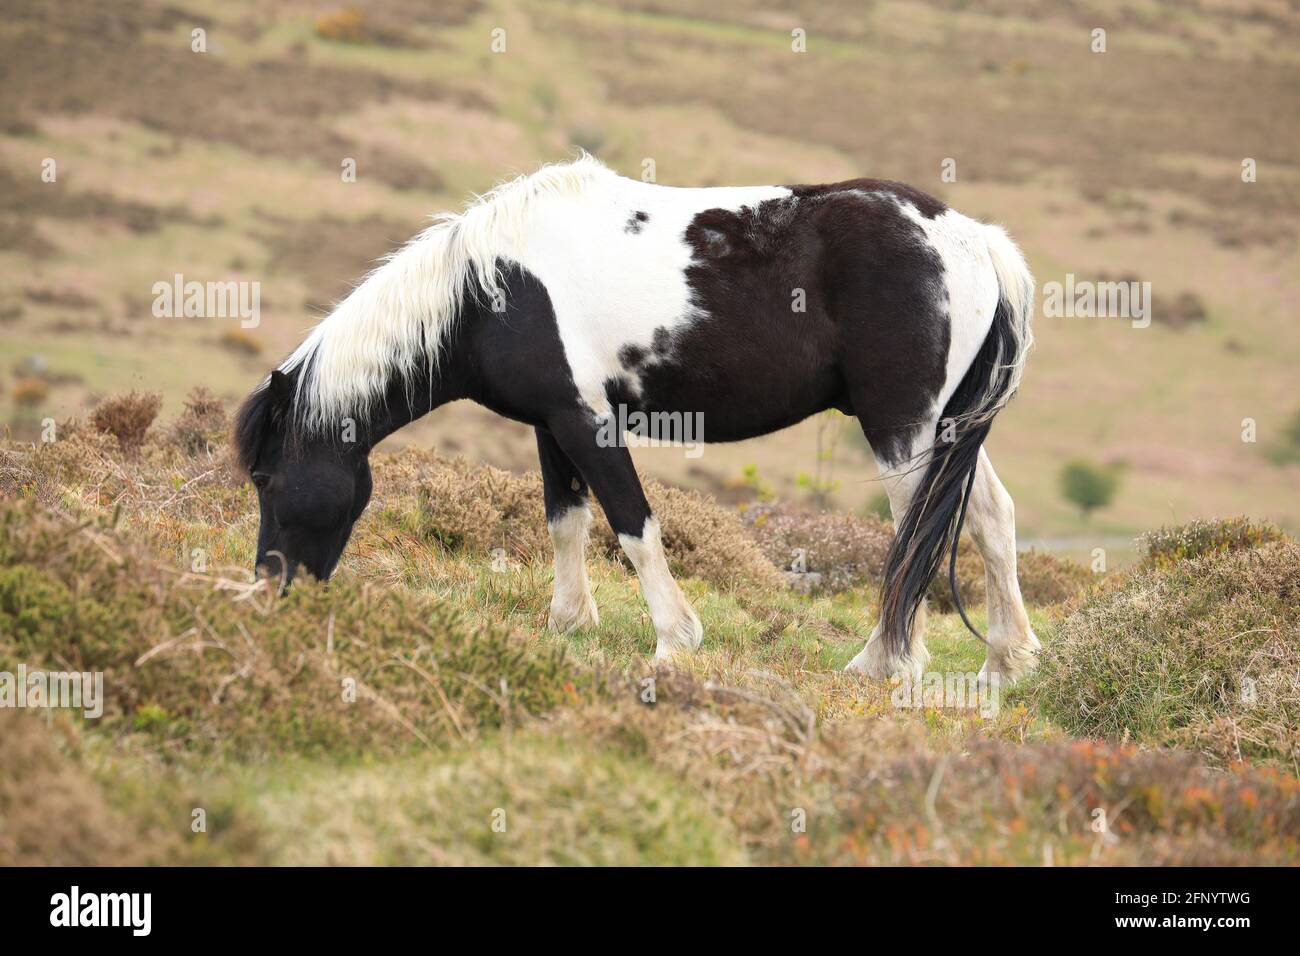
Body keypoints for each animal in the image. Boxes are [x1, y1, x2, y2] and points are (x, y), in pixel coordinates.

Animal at [235, 154, 1040, 683]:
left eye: (266, 479)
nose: (268, 593)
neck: (492, 290)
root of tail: (976, 241)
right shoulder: (551, 424)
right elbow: (567, 520)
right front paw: (568, 624)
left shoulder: (588, 423)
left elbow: (633, 524)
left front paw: (673, 639)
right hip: (943, 429)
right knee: (992, 519)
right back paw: (1006, 660)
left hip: (901, 430)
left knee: (914, 537)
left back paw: (882, 663)